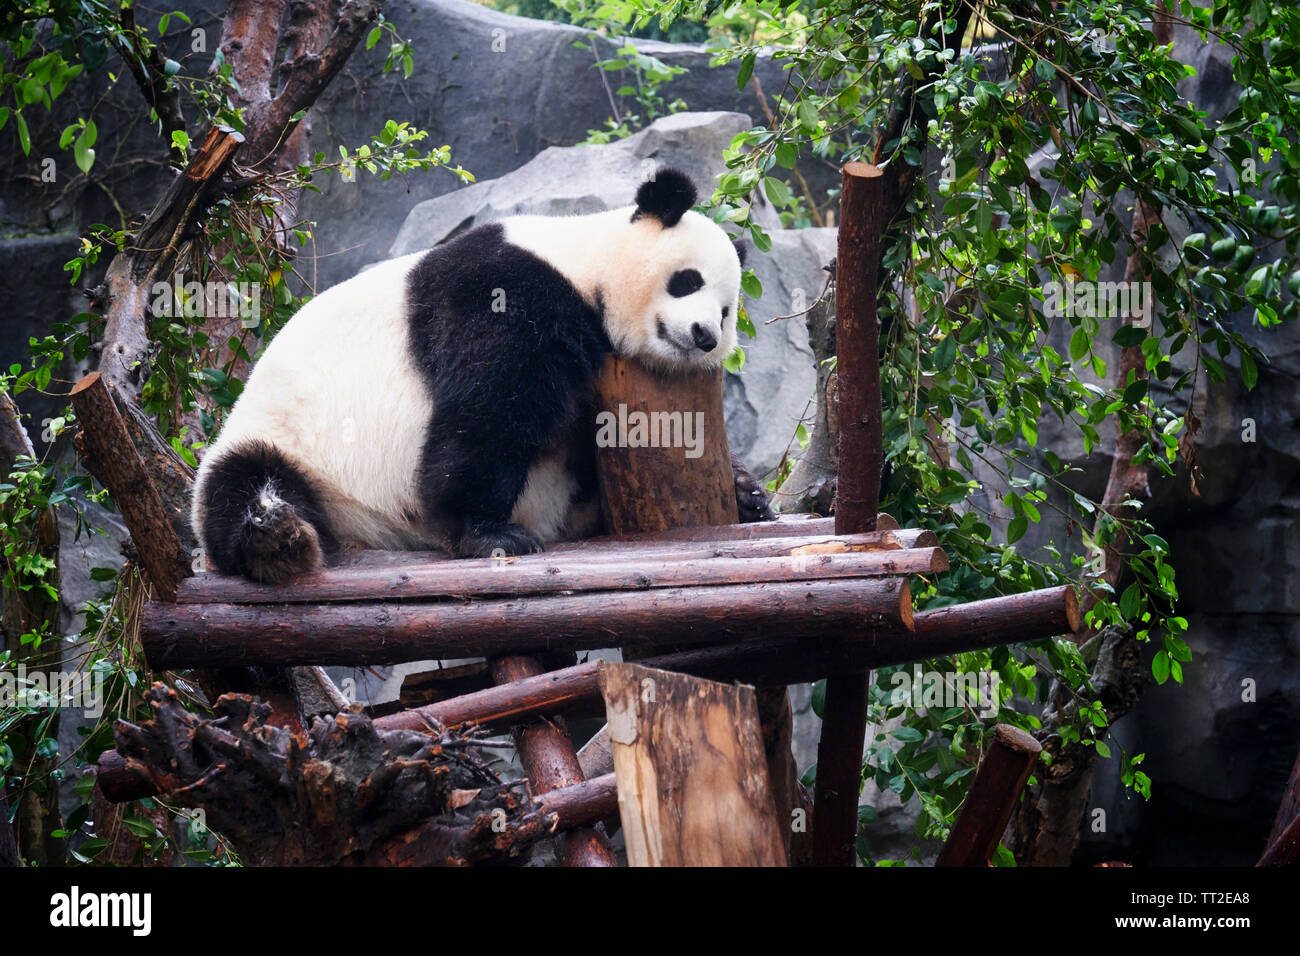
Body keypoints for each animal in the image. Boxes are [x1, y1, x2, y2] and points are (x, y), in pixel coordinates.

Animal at [192, 167, 774, 584]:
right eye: (687, 281)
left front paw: (747, 490)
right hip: (283, 440)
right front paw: (488, 534)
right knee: (243, 485)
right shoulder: (504, 289)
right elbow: (490, 407)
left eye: (727, 312)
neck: (584, 266)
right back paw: (278, 540)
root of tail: (372, 531)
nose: (704, 334)